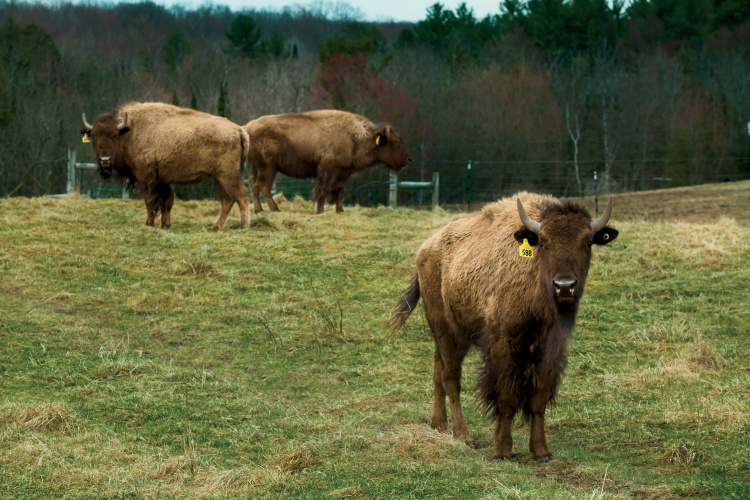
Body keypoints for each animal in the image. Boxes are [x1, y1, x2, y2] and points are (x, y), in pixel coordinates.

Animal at [81, 102, 251, 230]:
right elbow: (166, 203)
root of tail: (239, 130)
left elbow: (151, 202)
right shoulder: (163, 181)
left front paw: (149, 224)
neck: (129, 132)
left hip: (228, 176)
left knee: (242, 195)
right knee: (227, 200)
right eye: (93, 137)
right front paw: (165, 225)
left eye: (115, 136)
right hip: (220, 178)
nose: (105, 160)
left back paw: (243, 226)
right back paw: (216, 227)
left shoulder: (146, 180)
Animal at [243, 110, 411, 214]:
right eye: (395, 143)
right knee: (264, 186)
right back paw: (275, 209)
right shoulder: (327, 172)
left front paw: (340, 211)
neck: (355, 137)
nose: (408, 159)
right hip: (269, 167)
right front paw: (320, 210)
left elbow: (339, 192)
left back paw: (259, 210)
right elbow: (323, 191)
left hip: (257, 166)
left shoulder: (342, 174)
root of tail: (247, 127)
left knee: (253, 183)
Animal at [391, 192, 618, 461]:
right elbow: (506, 398)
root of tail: (425, 250)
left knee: (439, 371)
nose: (564, 286)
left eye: (588, 242)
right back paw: (464, 436)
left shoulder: (551, 349)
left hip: (449, 336)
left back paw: (440, 426)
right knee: (451, 378)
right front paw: (501, 451)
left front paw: (542, 451)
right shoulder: (503, 345)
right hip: (448, 331)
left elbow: (539, 400)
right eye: (543, 242)